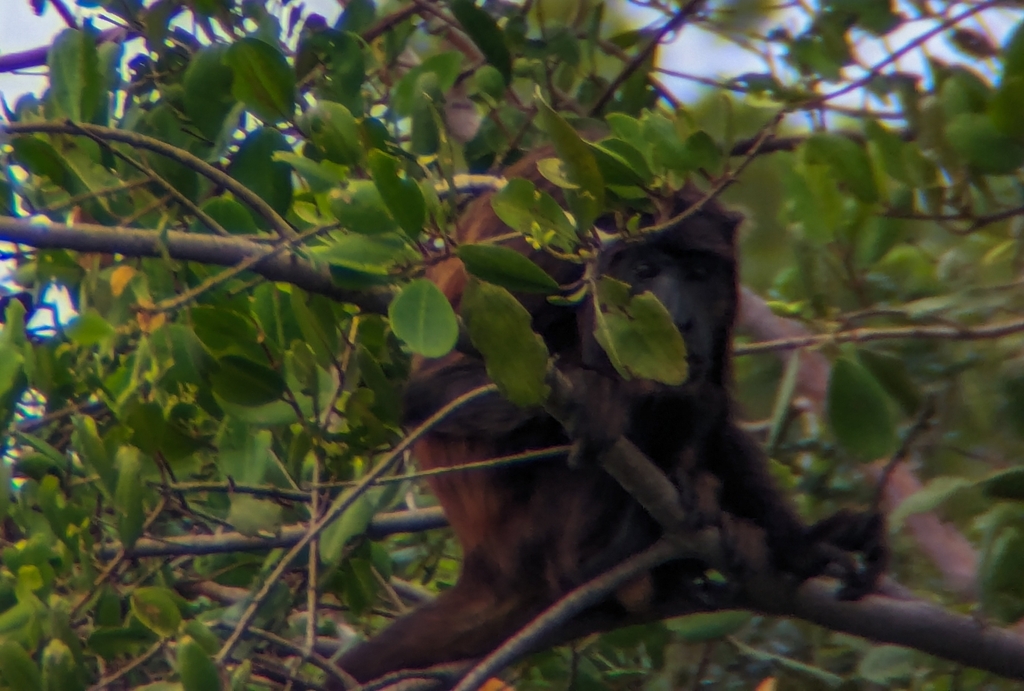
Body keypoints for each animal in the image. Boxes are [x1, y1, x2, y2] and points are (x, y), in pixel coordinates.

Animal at [333, 144, 886, 687]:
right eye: (643, 272)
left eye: (700, 274)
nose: (678, 320)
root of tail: (486, 565)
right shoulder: (537, 248)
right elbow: (430, 388)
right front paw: (597, 394)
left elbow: (719, 407)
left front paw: (803, 547)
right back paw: (613, 543)